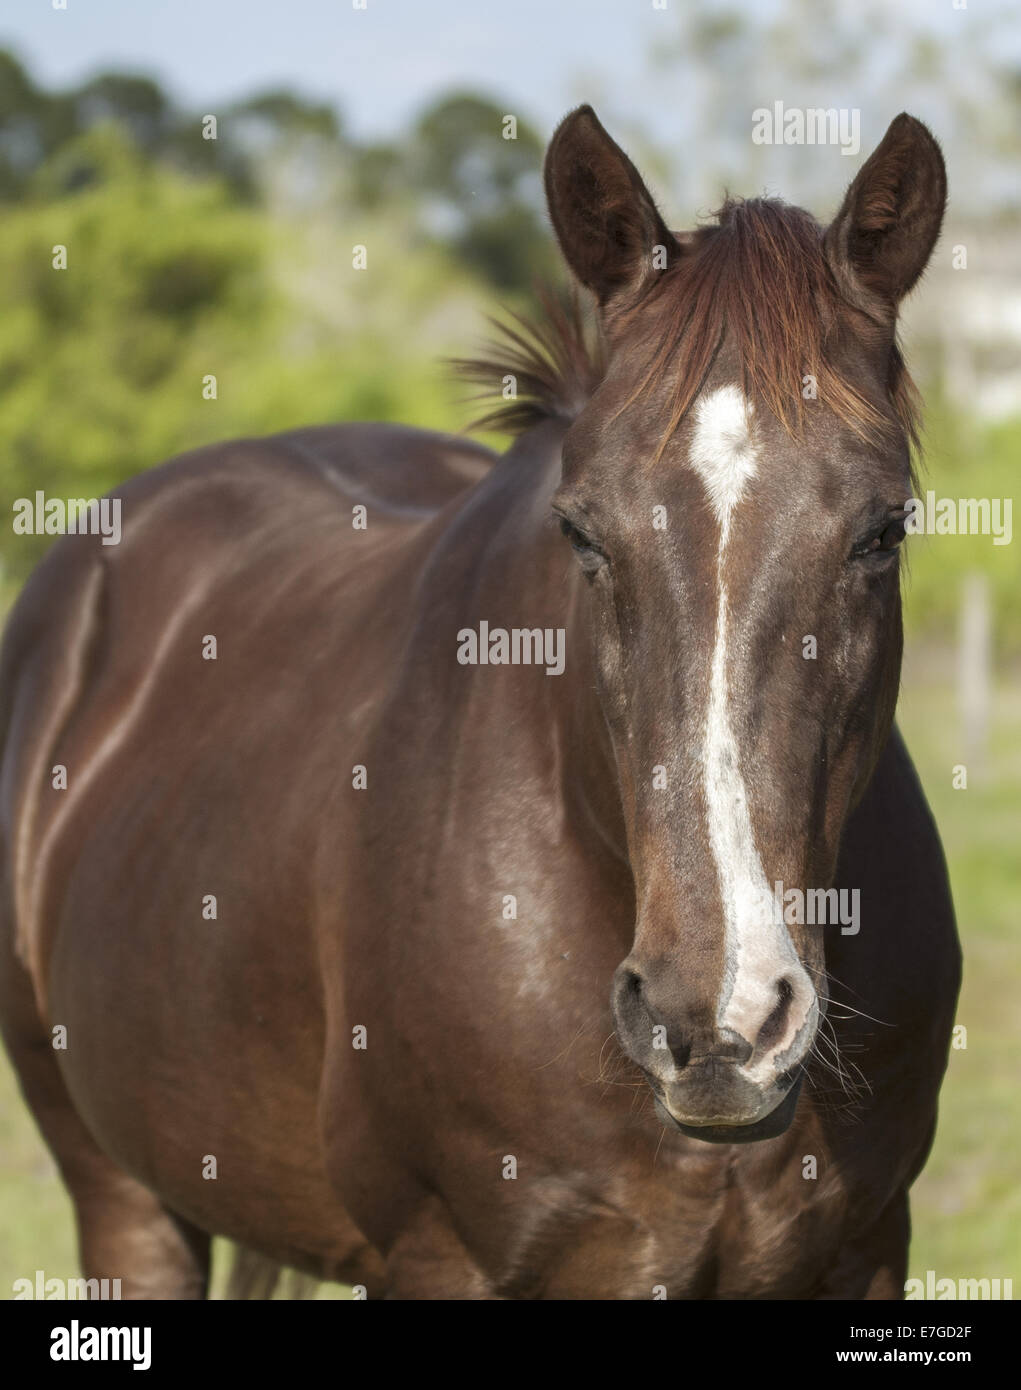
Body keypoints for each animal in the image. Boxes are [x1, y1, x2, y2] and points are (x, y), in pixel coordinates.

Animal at [0, 105, 960, 1299]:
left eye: (881, 531)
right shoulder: (438, 1256)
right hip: (123, 1199)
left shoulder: (865, 1248)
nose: (719, 1019)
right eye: (583, 533)